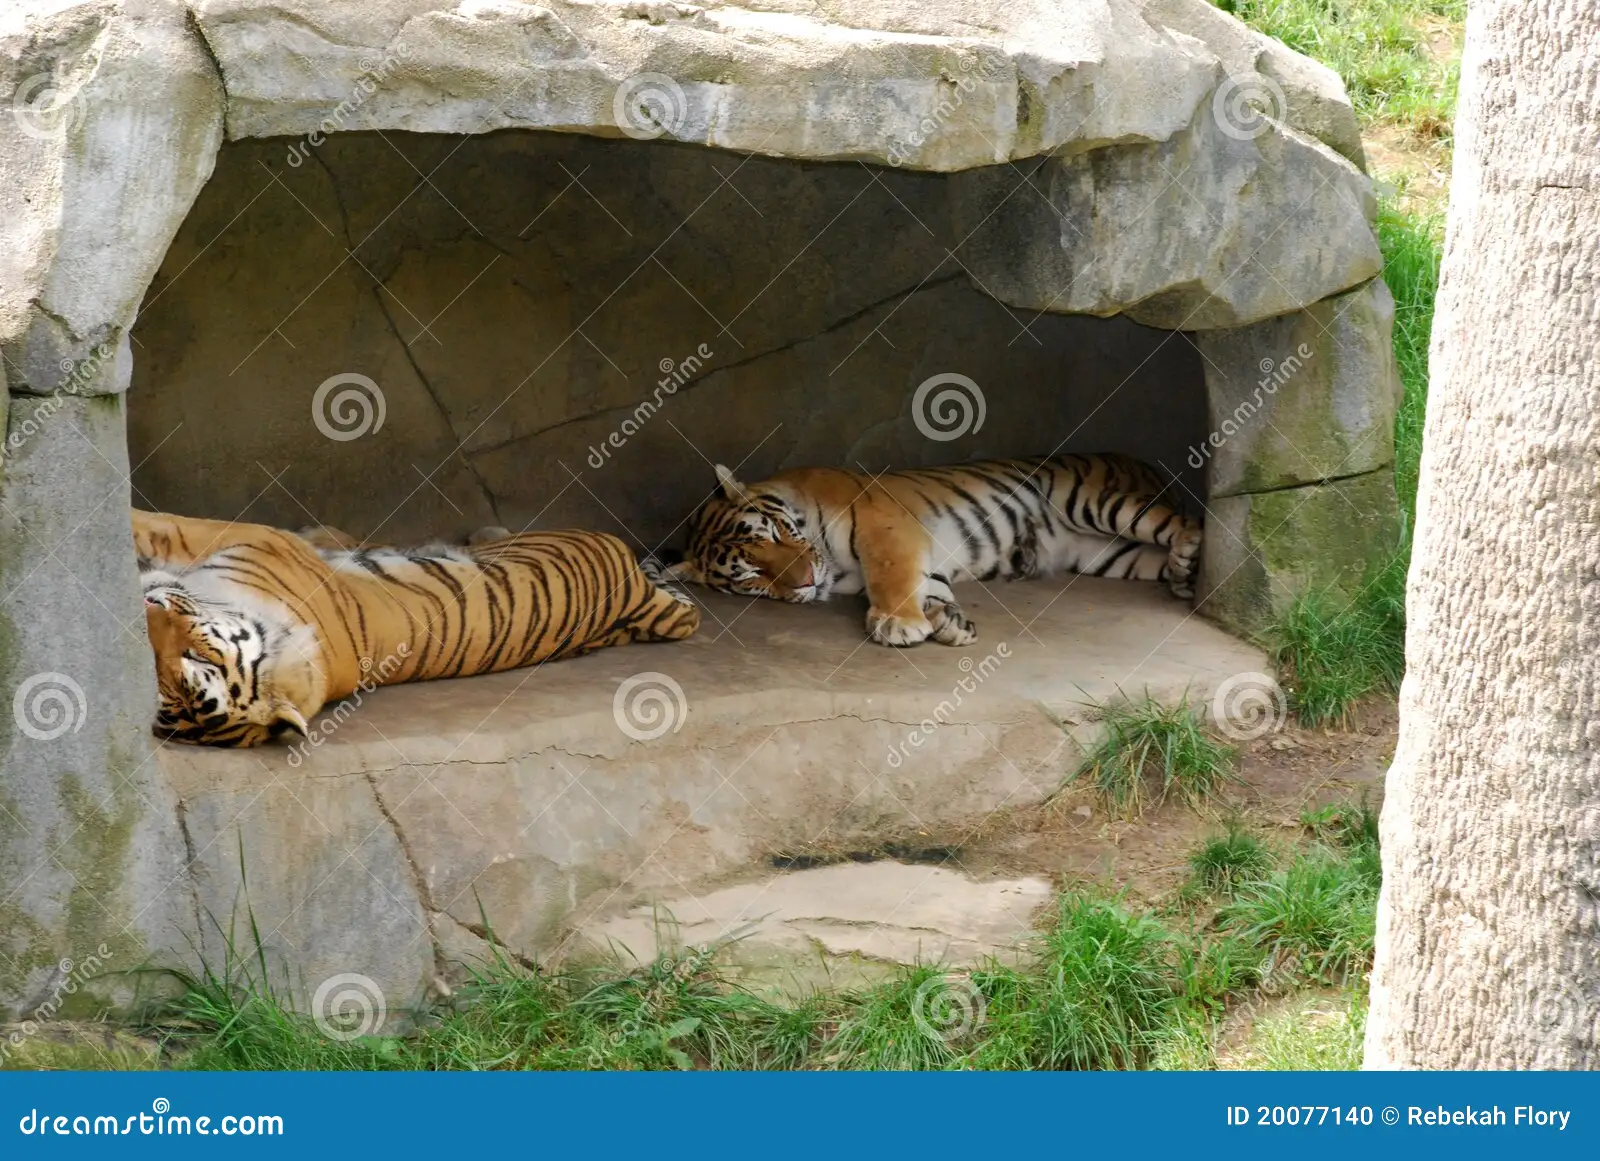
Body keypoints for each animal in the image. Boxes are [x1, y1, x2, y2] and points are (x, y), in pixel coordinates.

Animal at [667, 454, 1201, 648]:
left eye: (776, 535)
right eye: (751, 576)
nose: (805, 582)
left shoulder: (886, 526)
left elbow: (891, 574)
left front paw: (898, 624)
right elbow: (931, 588)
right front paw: (949, 623)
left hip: (1090, 500)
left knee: (1189, 522)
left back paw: (1189, 556)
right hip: (1105, 554)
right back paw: (1180, 574)